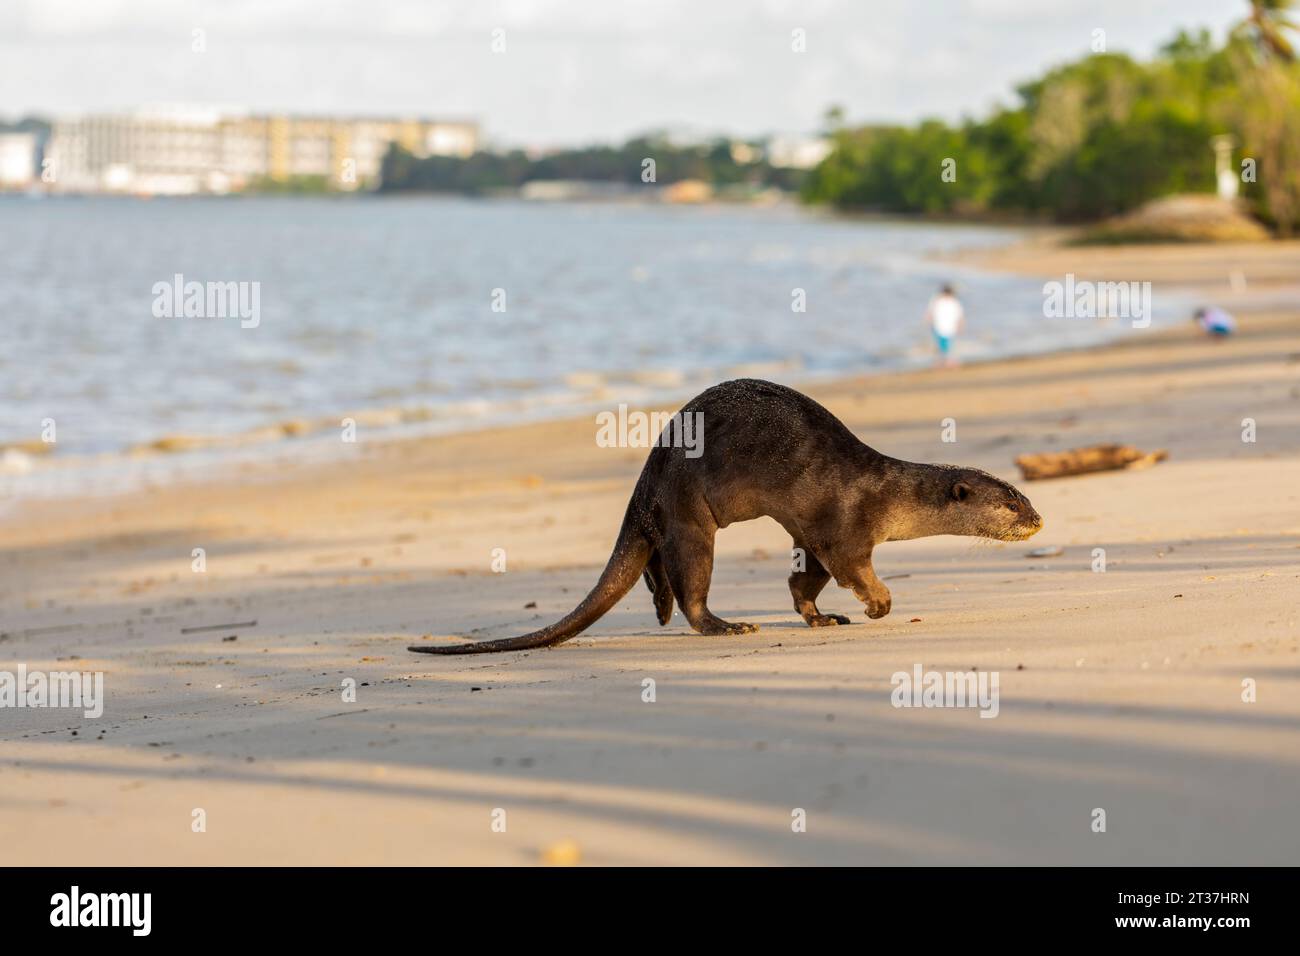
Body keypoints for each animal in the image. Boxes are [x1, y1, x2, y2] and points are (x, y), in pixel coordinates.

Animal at [411, 379, 1042, 655]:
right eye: (1011, 502)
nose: (1037, 519)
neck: (884, 493)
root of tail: (645, 481)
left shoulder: (810, 530)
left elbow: (803, 577)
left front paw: (821, 617)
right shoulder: (845, 524)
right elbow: (852, 568)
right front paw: (877, 604)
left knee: (658, 569)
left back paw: (669, 607)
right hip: (689, 516)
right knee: (690, 583)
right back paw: (726, 624)